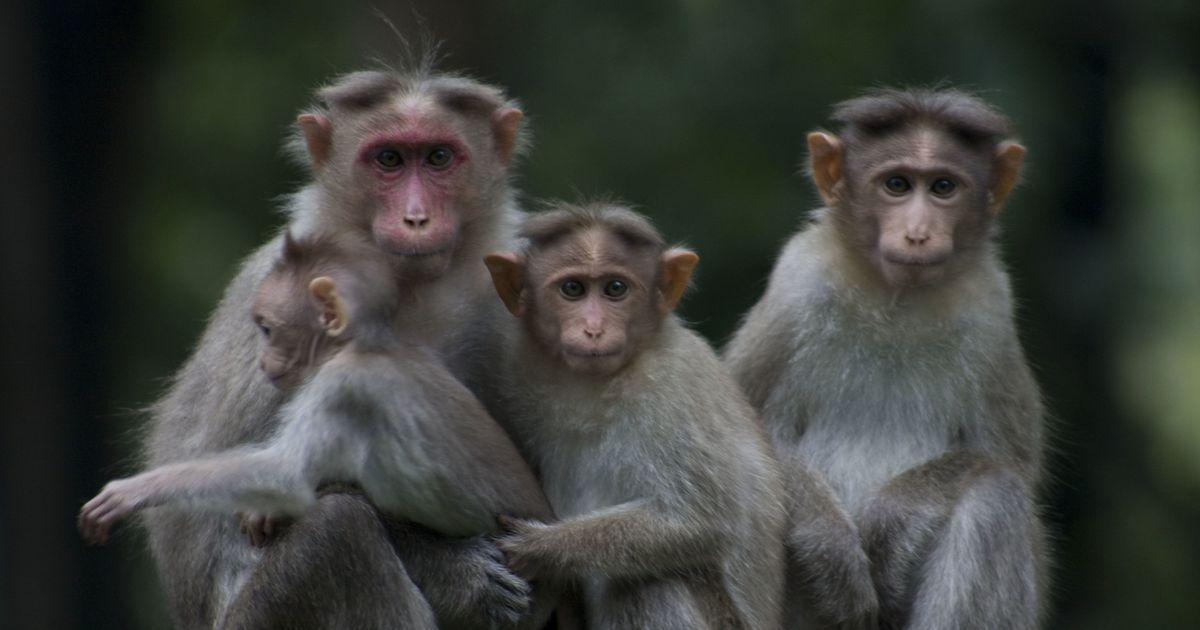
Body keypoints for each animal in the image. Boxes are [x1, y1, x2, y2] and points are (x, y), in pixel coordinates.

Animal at [80, 231, 554, 550]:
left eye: (267, 329)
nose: (261, 361)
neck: (366, 343)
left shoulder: (341, 389)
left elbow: (286, 477)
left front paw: (137, 490)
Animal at [136, 62, 545, 630]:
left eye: (438, 157)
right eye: (388, 159)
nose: (416, 219)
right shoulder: (274, 302)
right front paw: (460, 575)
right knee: (339, 531)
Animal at [482, 202, 788, 630]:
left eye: (615, 289)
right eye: (573, 289)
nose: (594, 329)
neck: (593, 386)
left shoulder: (670, 392)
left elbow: (703, 521)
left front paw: (542, 548)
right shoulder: (517, 368)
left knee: (647, 583)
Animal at [723, 87, 1045, 629]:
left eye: (942, 187)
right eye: (897, 184)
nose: (917, 233)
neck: (896, 303)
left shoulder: (990, 313)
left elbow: (1010, 465)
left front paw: (895, 522)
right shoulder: (795, 290)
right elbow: (735, 446)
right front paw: (829, 545)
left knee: (994, 496)